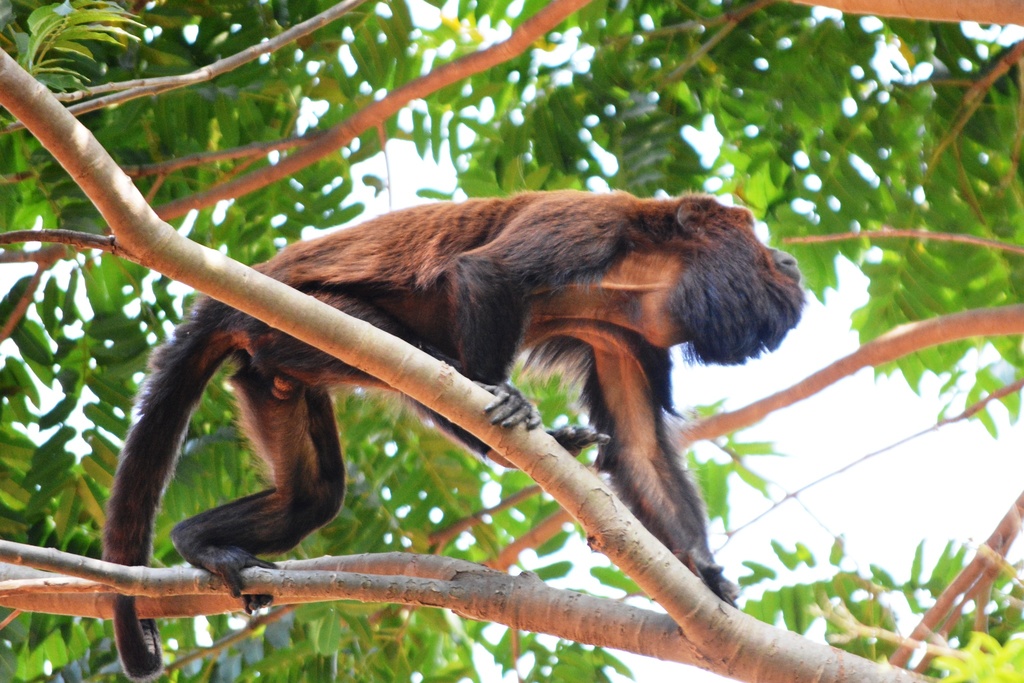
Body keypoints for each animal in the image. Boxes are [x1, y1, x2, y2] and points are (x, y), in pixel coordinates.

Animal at [102, 190, 804, 681]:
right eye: (759, 237)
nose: (792, 260)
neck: (644, 275)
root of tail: (236, 292)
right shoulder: (587, 220)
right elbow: (488, 272)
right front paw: (502, 391)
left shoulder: (632, 336)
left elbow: (638, 449)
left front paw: (706, 574)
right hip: (291, 319)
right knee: (409, 355)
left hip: (267, 372)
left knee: (314, 494)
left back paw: (197, 541)